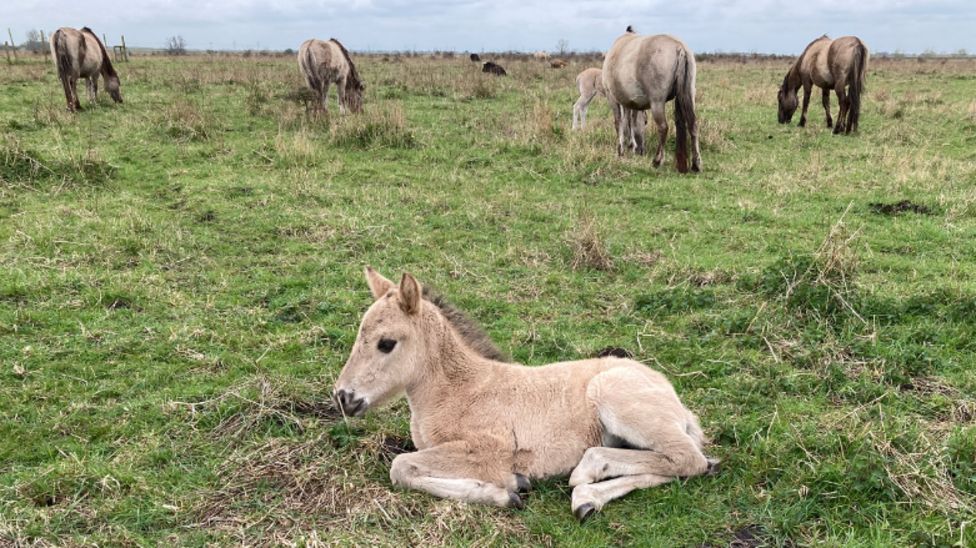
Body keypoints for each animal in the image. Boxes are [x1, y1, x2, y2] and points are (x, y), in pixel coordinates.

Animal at [333, 268, 718, 521]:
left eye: (386, 343)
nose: (344, 398)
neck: (460, 389)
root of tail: (674, 398)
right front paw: (510, 489)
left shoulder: (487, 449)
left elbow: (401, 466)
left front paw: (506, 491)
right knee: (685, 463)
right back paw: (586, 499)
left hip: (618, 399)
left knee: (688, 458)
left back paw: (588, 471)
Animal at [603, 28, 701, 173]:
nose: (641, 151)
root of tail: (679, 47)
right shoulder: (631, 103)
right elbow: (631, 122)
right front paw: (633, 146)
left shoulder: (613, 99)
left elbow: (619, 122)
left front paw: (621, 150)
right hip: (688, 95)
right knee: (692, 125)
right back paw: (696, 164)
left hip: (657, 103)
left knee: (663, 127)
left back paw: (657, 160)